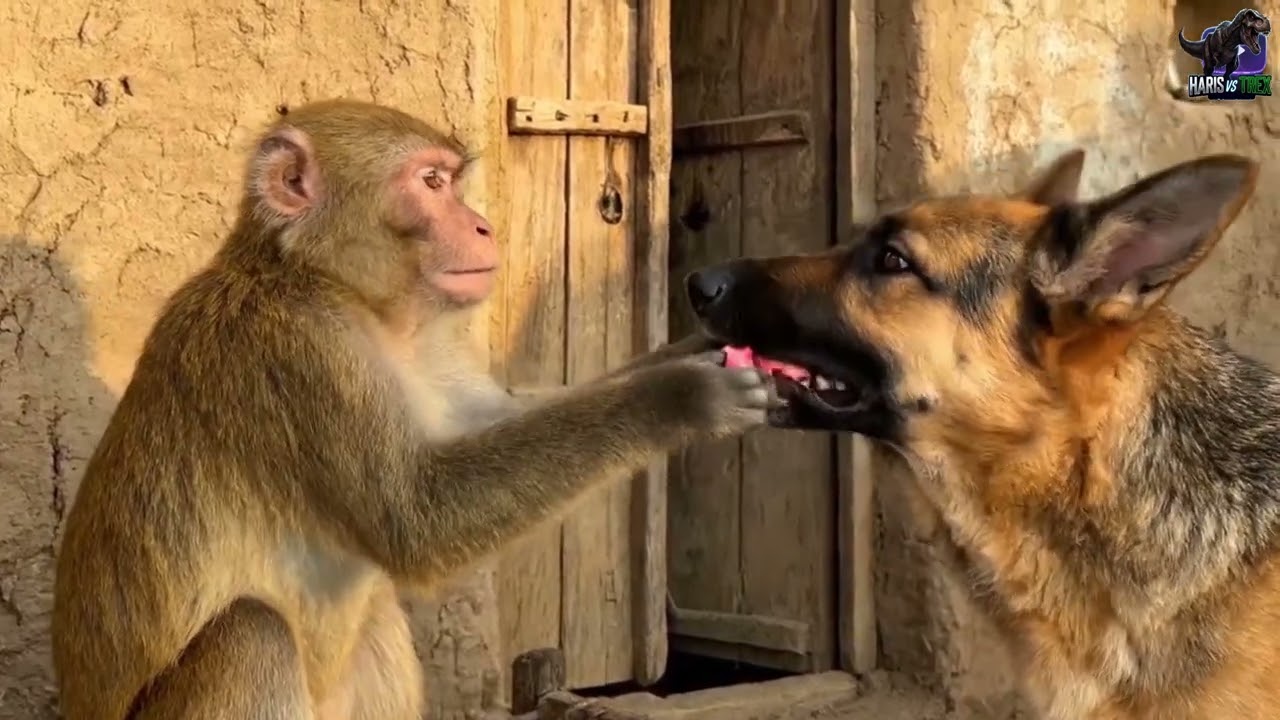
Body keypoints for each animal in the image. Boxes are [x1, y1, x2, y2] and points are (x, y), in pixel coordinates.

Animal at [50, 99, 776, 720]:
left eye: (452, 182)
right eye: (431, 182)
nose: (483, 226)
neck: (329, 282)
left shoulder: (428, 350)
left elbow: (492, 422)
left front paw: (703, 346)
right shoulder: (300, 348)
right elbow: (415, 517)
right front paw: (677, 398)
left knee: (373, 615)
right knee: (253, 634)